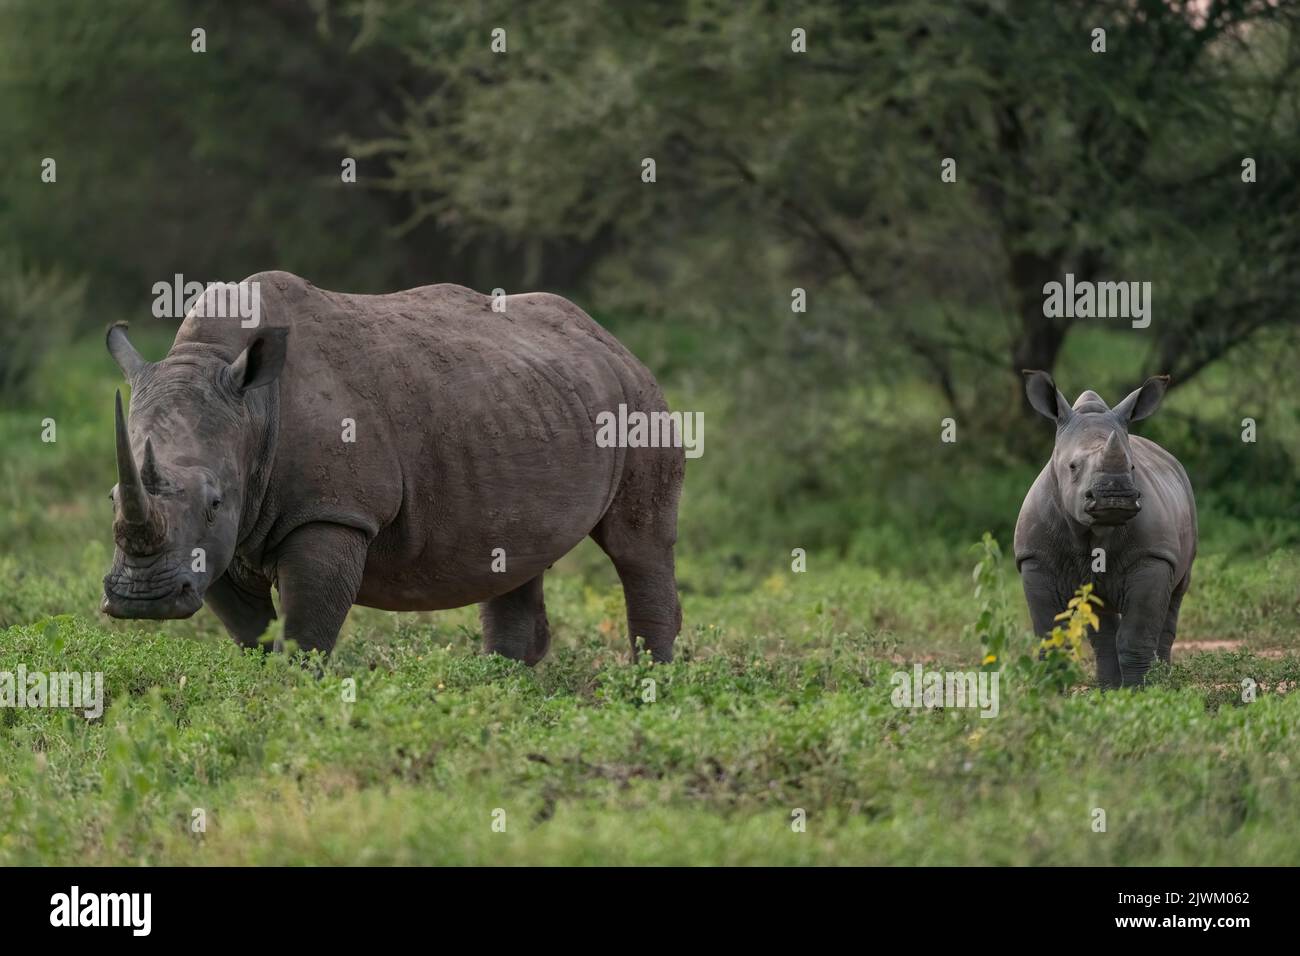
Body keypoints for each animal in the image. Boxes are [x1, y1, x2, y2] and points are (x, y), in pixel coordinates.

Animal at [102, 271, 684, 664]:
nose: (142, 599)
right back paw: (500, 689)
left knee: (638, 547)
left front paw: (293, 700)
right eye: (111, 499)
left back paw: (647, 686)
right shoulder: (221, 542)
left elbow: (306, 633)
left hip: (638, 399)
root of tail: (608, 338)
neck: (251, 406)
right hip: (532, 401)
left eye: (214, 501)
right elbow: (254, 635)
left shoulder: (333, 510)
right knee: (514, 552)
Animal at [1014, 371, 1197, 688]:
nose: (1115, 496)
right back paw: (1107, 688)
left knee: (1176, 596)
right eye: (1072, 466)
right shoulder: (1035, 559)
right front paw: (1050, 690)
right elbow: (1050, 636)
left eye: (1133, 467)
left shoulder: (1153, 557)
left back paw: (1160, 681)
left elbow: (1136, 636)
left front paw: (1140, 691)